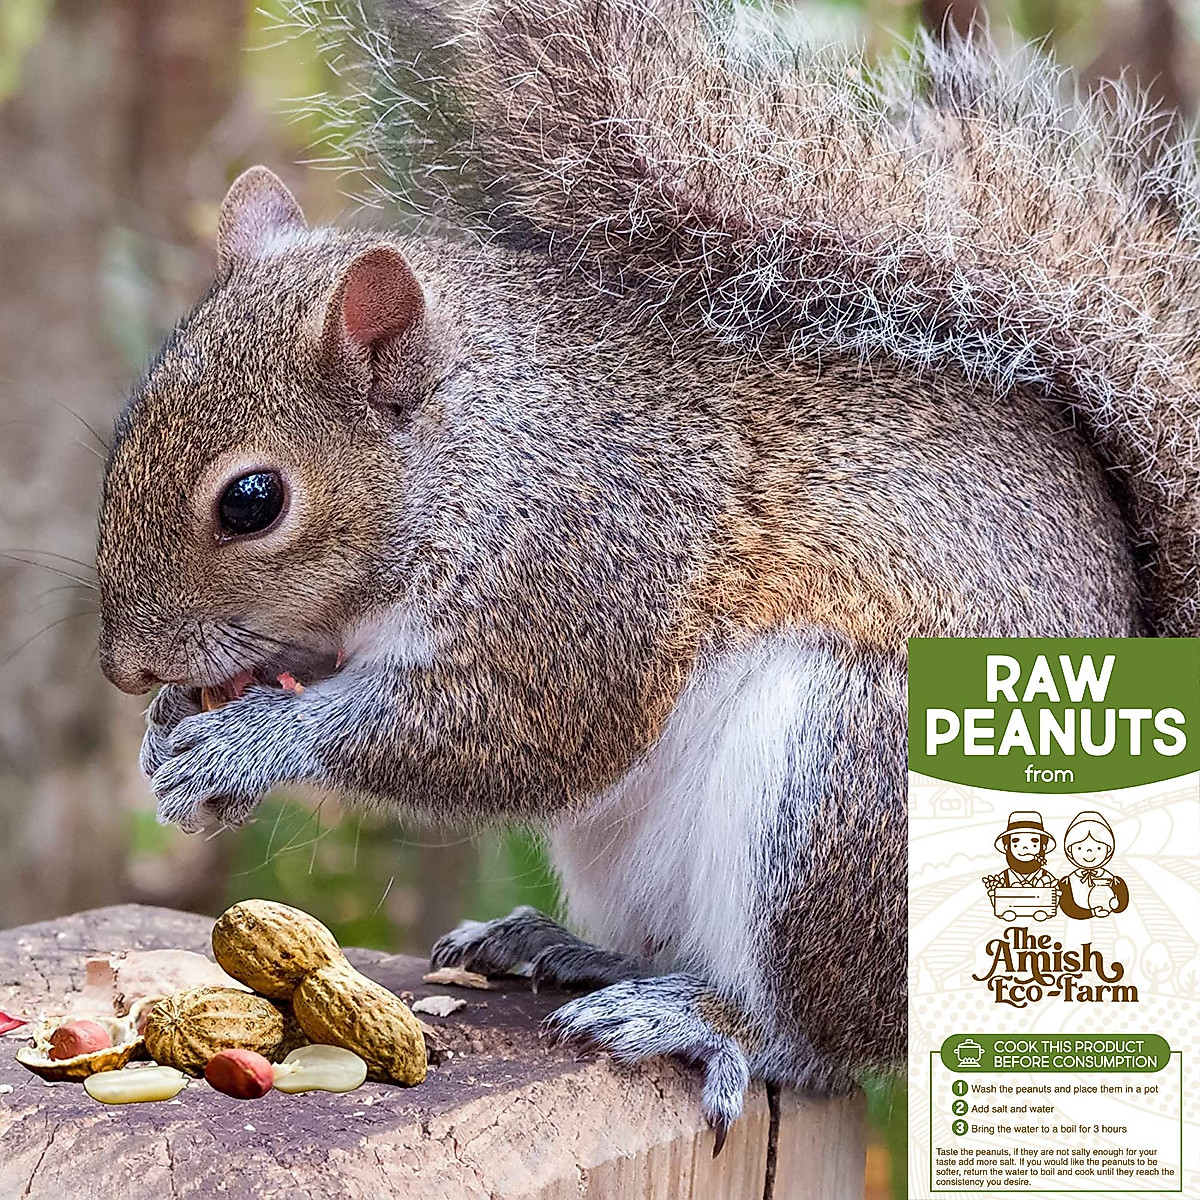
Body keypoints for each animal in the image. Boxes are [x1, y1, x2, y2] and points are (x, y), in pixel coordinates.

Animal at [95, 0, 1198, 1142]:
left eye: (251, 501)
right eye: (127, 428)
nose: (126, 667)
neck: (474, 445)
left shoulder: (588, 563)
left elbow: (526, 730)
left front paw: (247, 744)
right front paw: (172, 734)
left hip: (849, 783)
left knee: (828, 1040)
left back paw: (711, 1023)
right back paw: (564, 949)